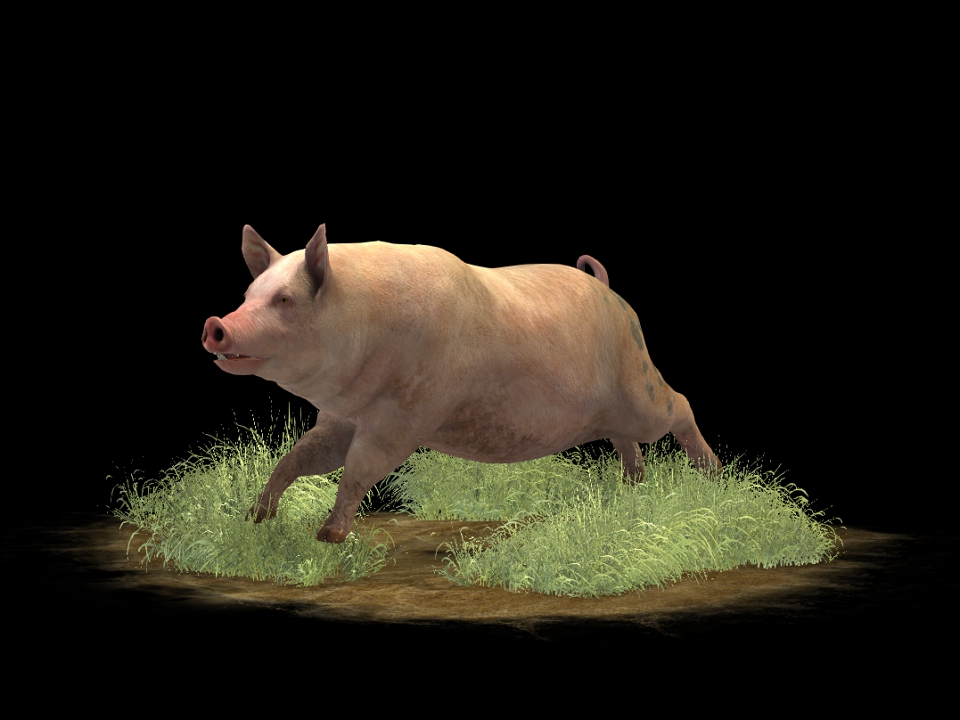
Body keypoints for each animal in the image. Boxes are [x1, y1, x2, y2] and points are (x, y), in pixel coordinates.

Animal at [201, 224, 721, 543]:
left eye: (286, 300)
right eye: (248, 294)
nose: (215, 324)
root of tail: (611, 291)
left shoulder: (408, 413)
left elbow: (362, 468)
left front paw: (327, 537)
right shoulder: (341, 417)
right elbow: (302, 457)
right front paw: (254, 517)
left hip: (640, 384)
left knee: (680, 404)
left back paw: (712, 476)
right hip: (616, 406)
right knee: (624, 438)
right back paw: (631, 487)